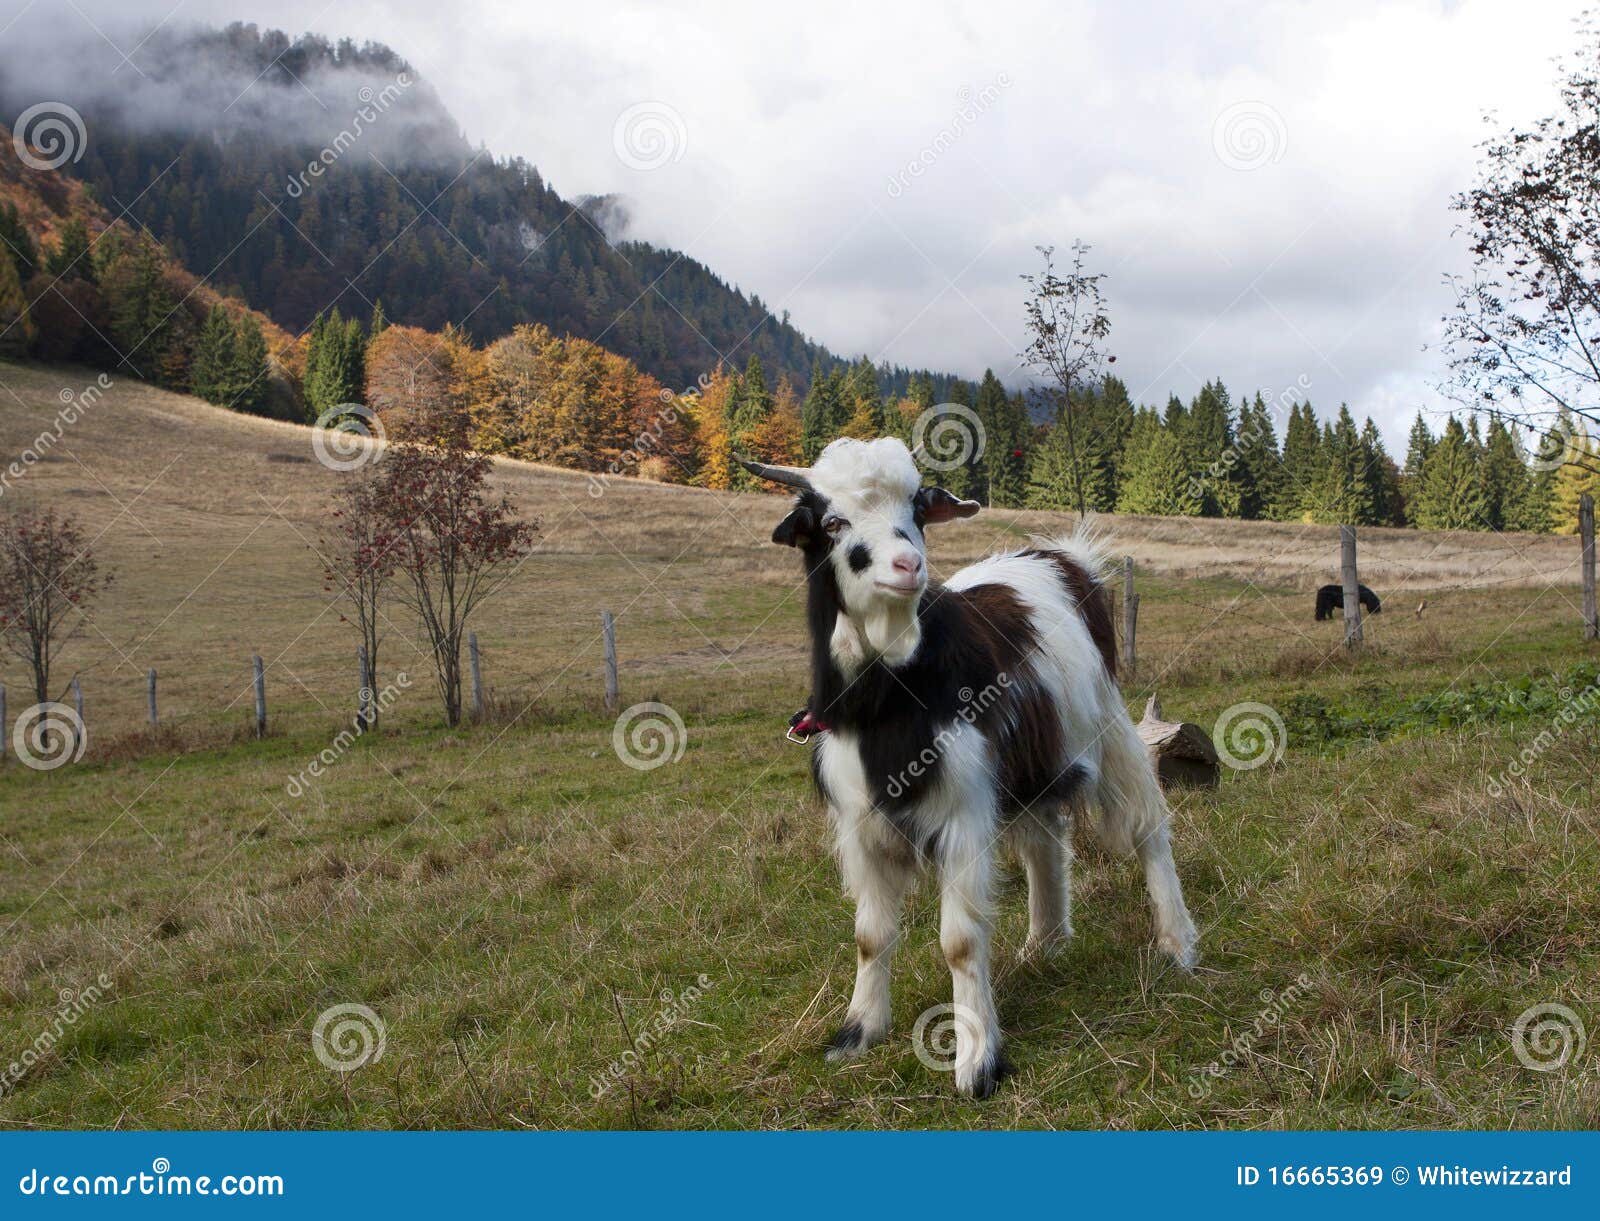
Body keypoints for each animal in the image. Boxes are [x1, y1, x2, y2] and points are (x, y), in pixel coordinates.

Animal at [740, 438, 1198, 1099]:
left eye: (918, 510)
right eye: (831, 523)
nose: (908, 565)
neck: (887, 703)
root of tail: (1063, 559)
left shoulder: (962, 814)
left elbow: (959, 942)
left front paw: (977, 1061)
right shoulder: (861, 825)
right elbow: (870, 935)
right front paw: (857, 1032)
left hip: (1111, 730)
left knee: (1147, 828)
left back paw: (1177, 944)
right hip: (1034, 765)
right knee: (1044, 840)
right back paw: (1045, 944)